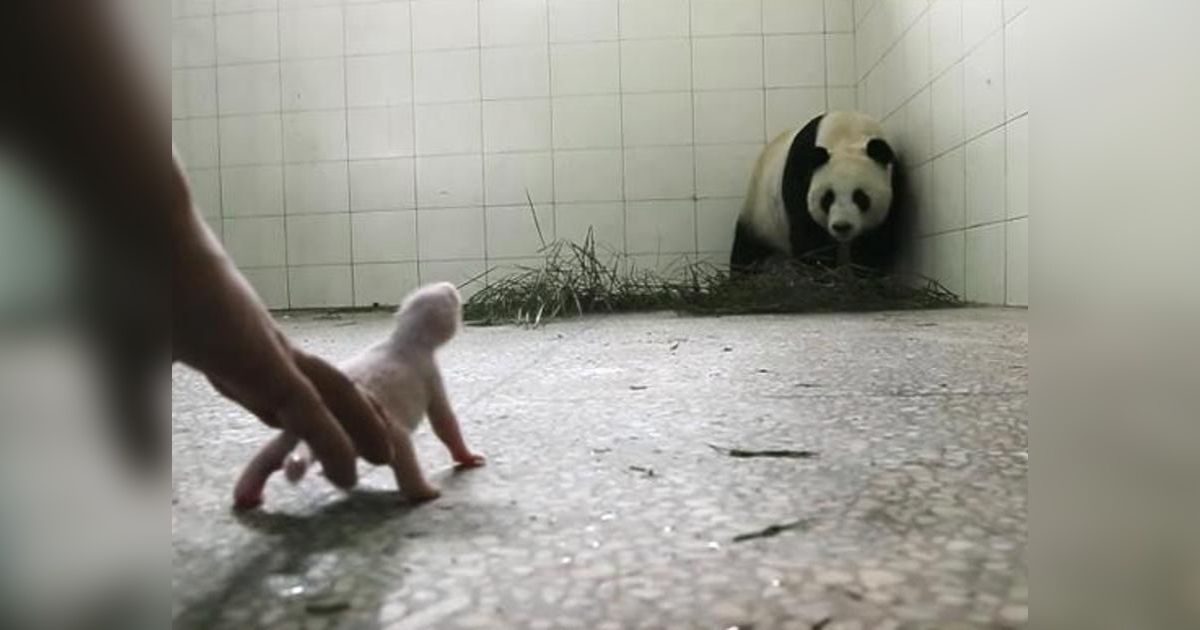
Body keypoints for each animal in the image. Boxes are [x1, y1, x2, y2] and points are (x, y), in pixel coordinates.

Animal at [730, 111, 907, 274]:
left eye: (860, 197)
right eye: (828, 197)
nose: (842, 226)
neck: (847, 133)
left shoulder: (894, 177)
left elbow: (877, 237)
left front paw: (866, 272)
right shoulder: (800, 170)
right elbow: (807, 230)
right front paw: (820, 270)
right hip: (759, 213)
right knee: (745, 249)